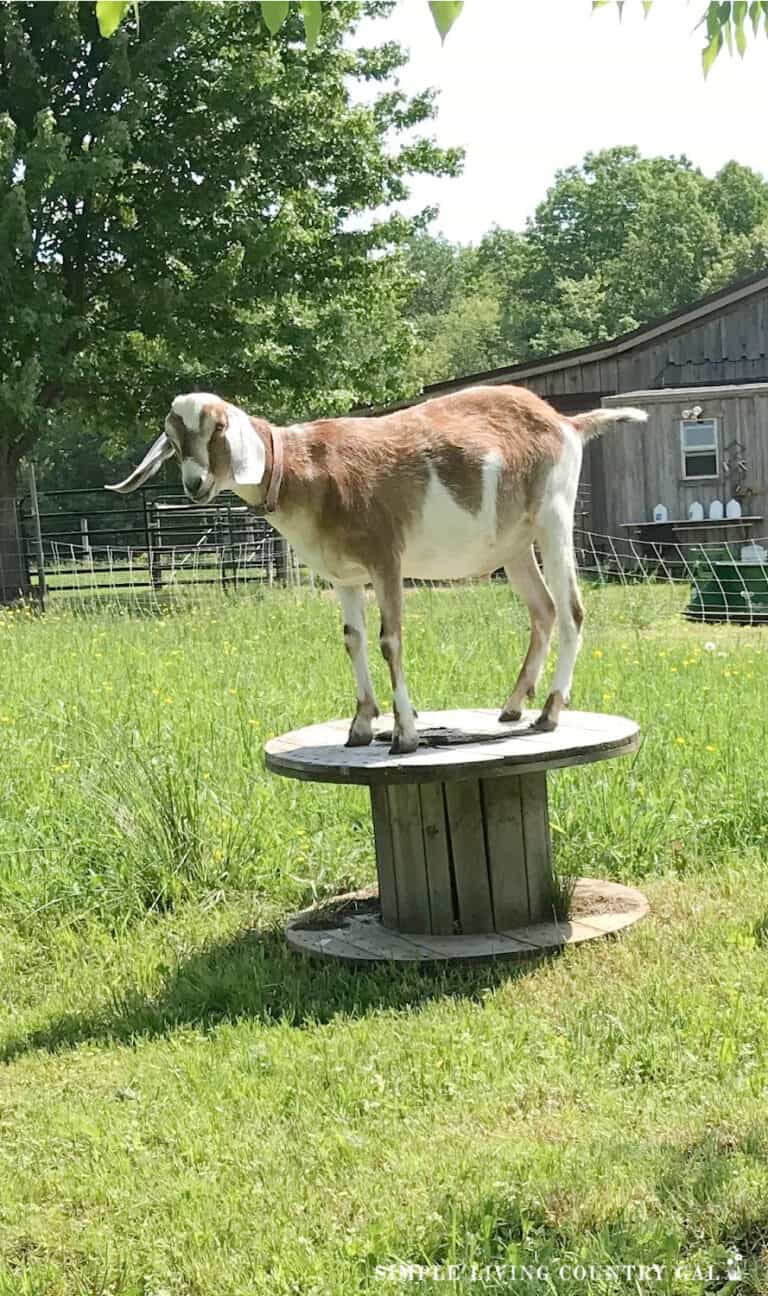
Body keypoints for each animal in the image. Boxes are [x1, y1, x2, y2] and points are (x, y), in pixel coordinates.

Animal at [106, 387, 647, 753]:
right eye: (174, 438)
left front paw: (404, 733)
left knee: (572, 611)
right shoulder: (344, 576)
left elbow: (391, 640)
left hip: (554, 519)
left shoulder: (386, 559)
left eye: (217, 429)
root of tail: (567, 423)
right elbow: (353, 640)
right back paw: (514, 706)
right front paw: (362, 725)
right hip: (514, 545)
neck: (309, 472)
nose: (194, 484)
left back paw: (550, 712)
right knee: (543, 611)